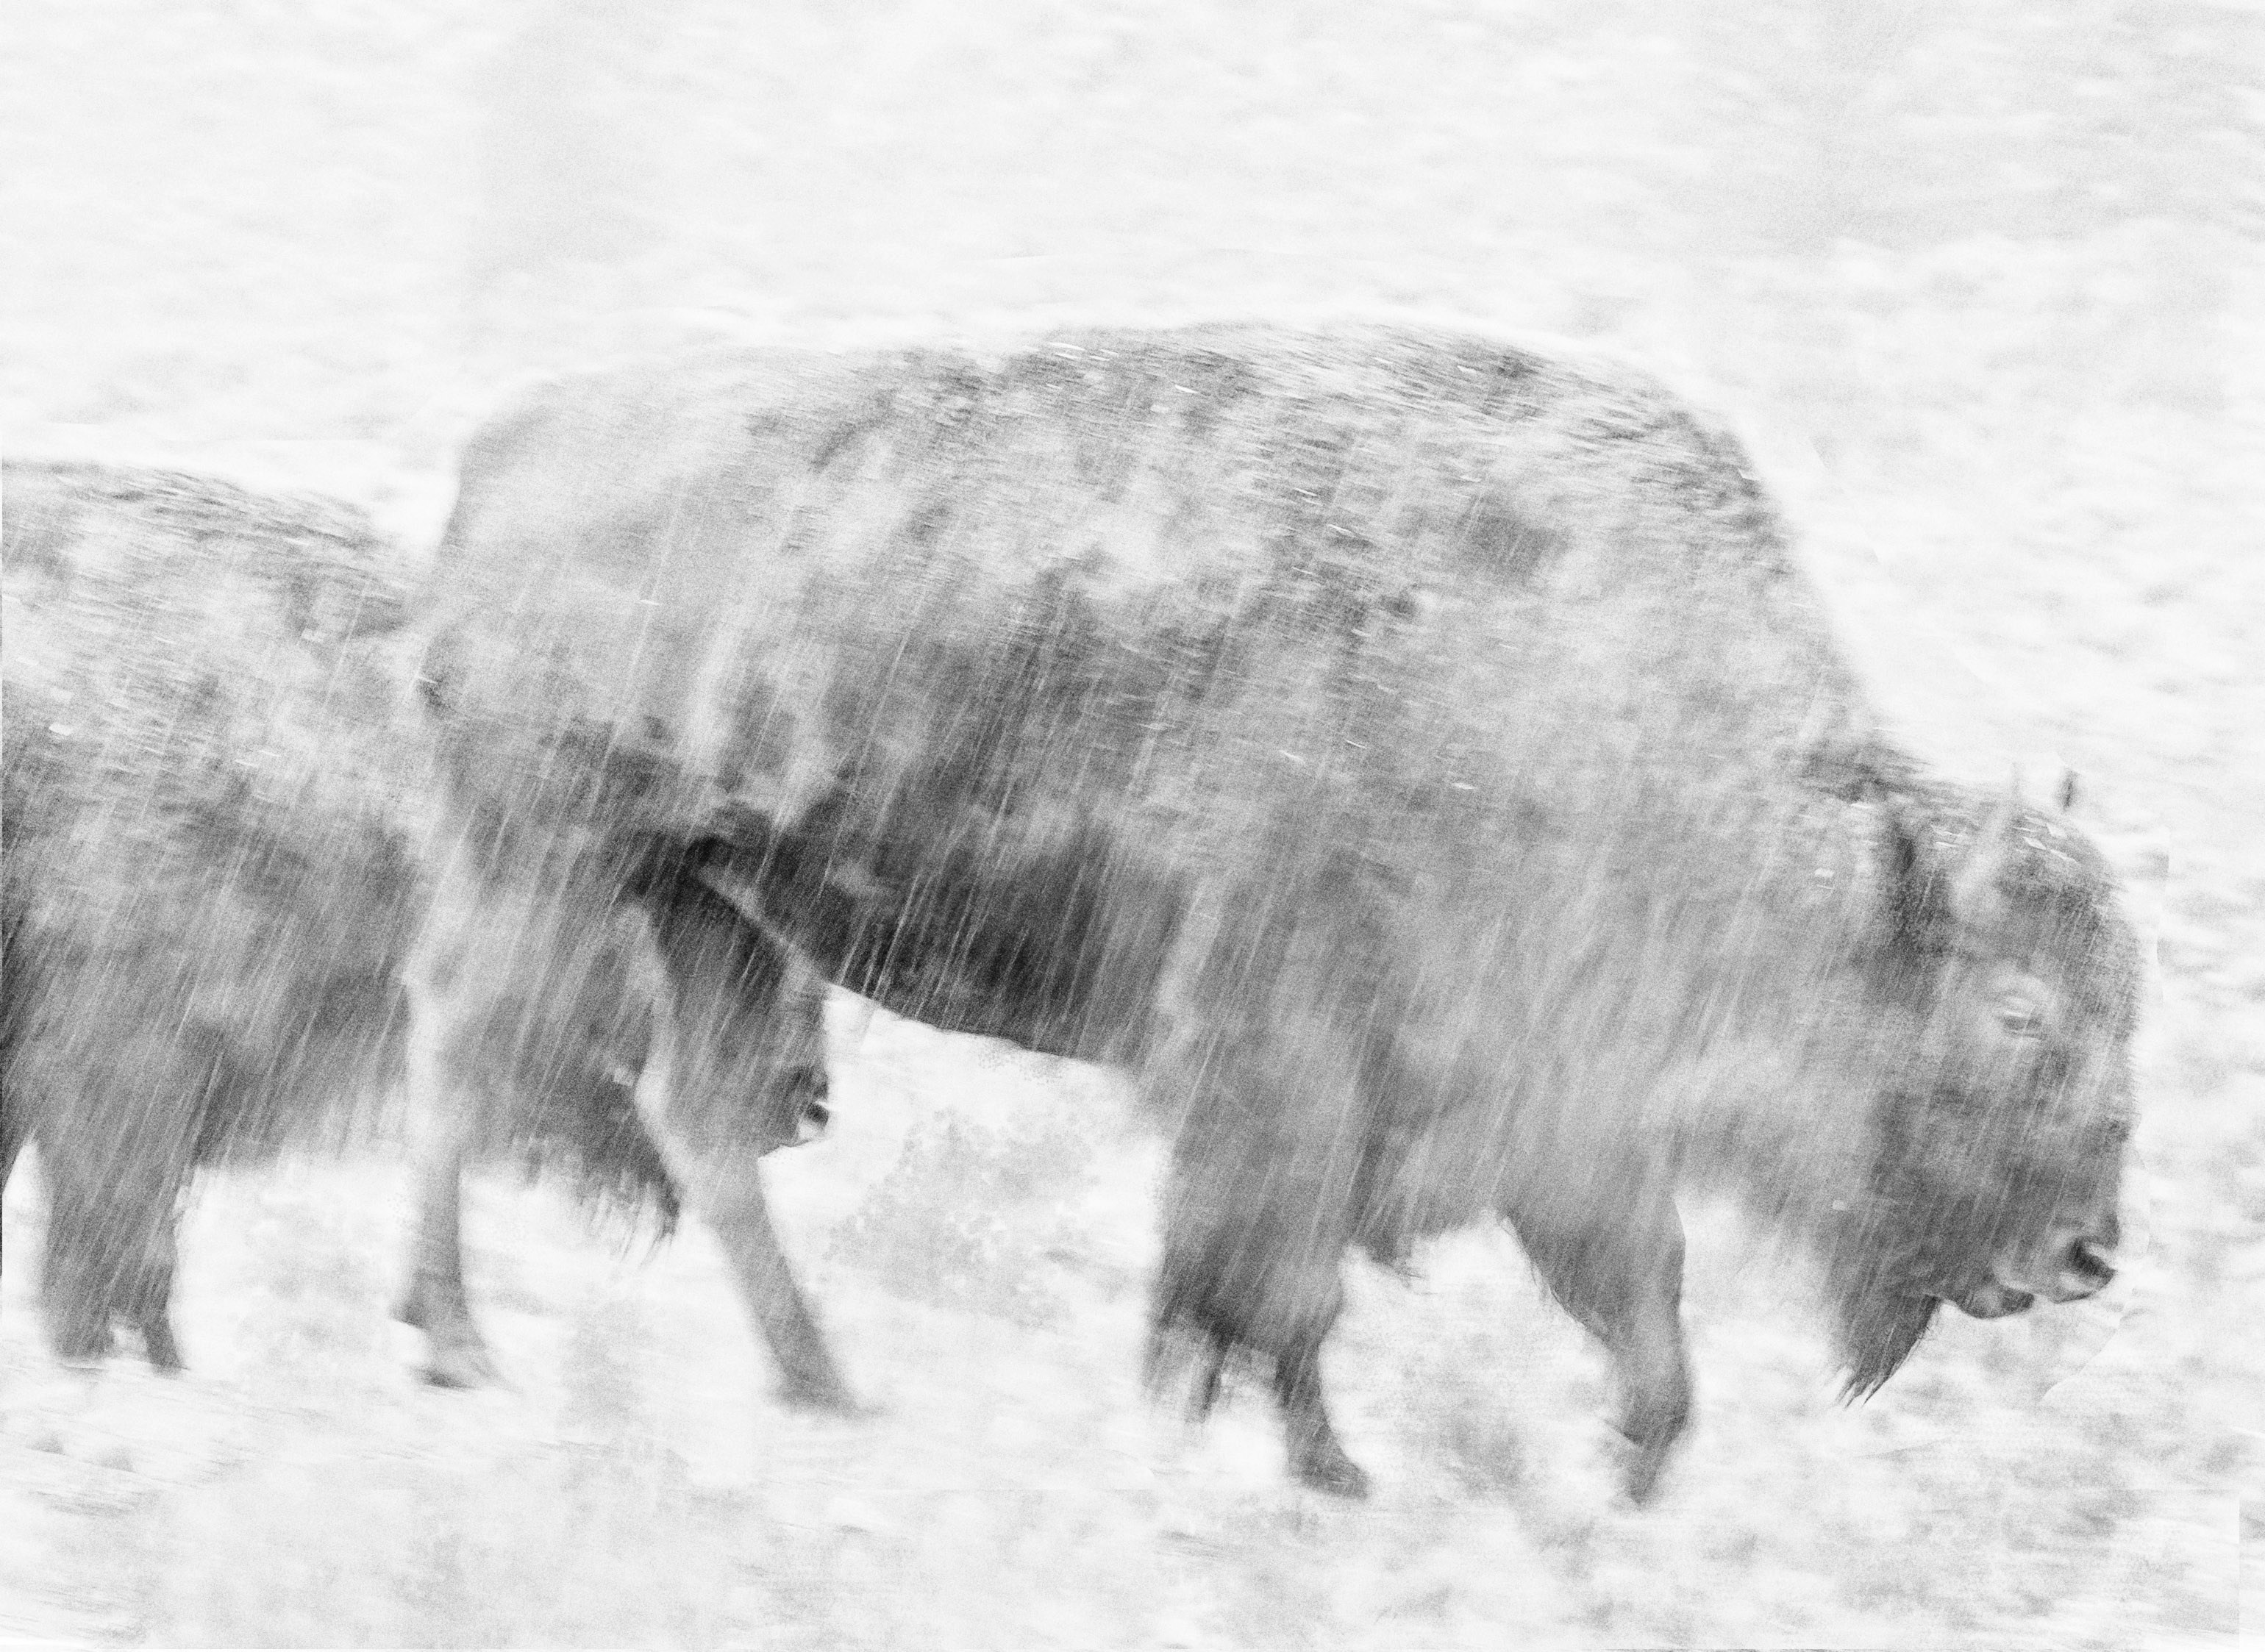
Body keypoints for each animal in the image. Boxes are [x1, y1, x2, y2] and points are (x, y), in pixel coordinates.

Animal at [408, 322, 2141, 1501]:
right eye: (2017, 1012)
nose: (2087, 1254)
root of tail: (510, 442)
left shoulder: (1554, 1110)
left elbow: (1640, 1327)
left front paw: (1608, 1486)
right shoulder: (1287, 1064)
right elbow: (1273, 1285)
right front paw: (1321, 1473)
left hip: (711, 900)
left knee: (697, 1118)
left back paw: (824, 1389)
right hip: (548, 853)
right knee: (464, 1048)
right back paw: (456, 1344)